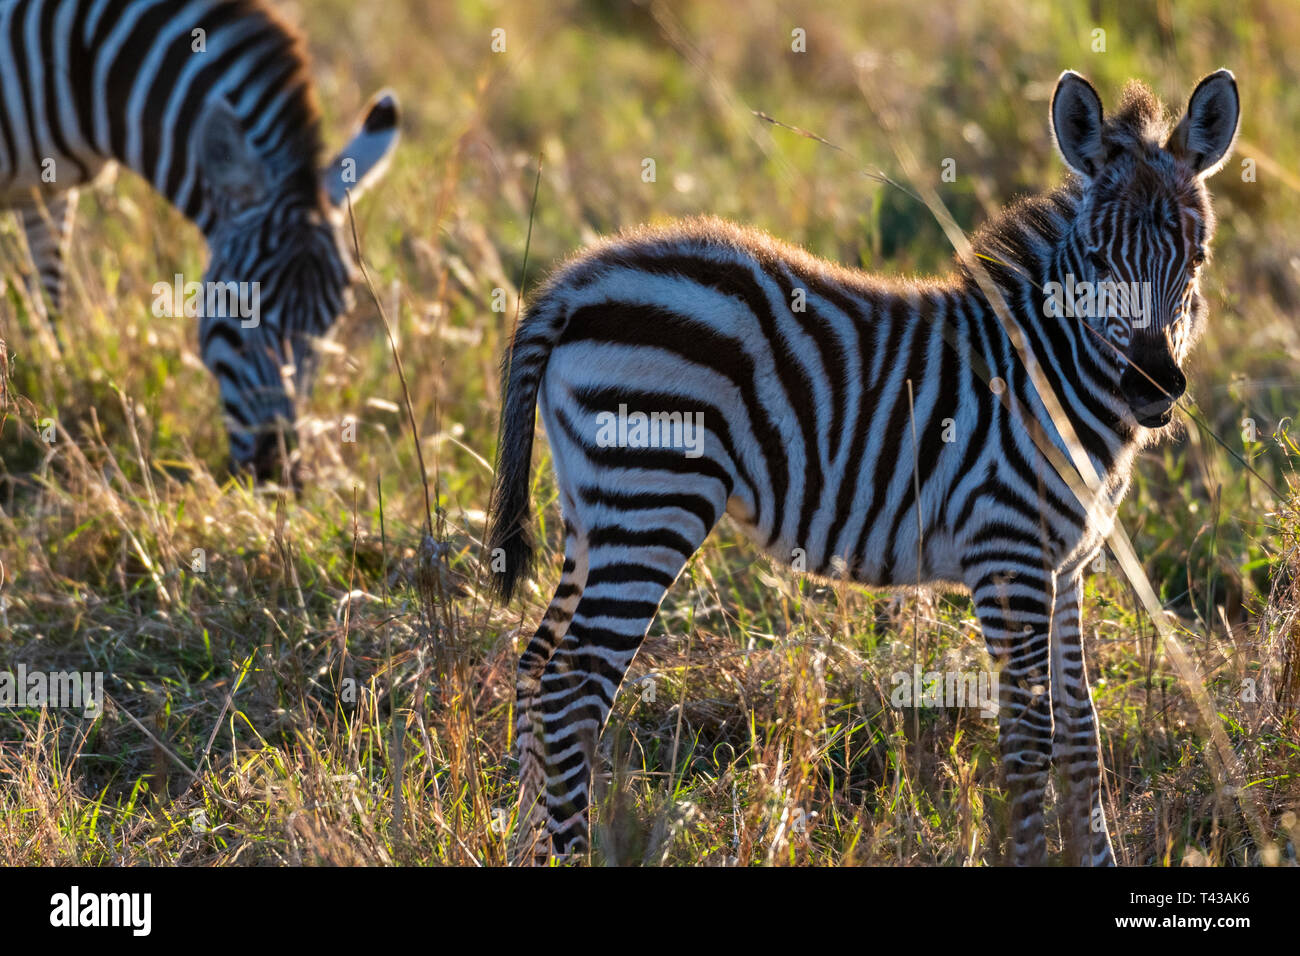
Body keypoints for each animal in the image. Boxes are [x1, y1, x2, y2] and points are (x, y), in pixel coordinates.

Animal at [0, 0, 399, 479]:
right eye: (240, 305)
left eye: (334, 318)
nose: (276, 472)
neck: (80, 62)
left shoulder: (47, 192)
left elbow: (49, 303)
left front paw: (51, 394)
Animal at [488, 69, 1240, 865]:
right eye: (1097, 261)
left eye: (1196, 259)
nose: (1153, 387)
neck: (1048, 373)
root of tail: (573, 284)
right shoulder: (1008, 554)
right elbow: (1031, 738)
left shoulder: (1066, 565)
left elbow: (1081, 735)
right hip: (652, 499)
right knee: (571, 691)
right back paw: (567, 850)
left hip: (593, 509)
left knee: (536, 670)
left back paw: (528, 846)